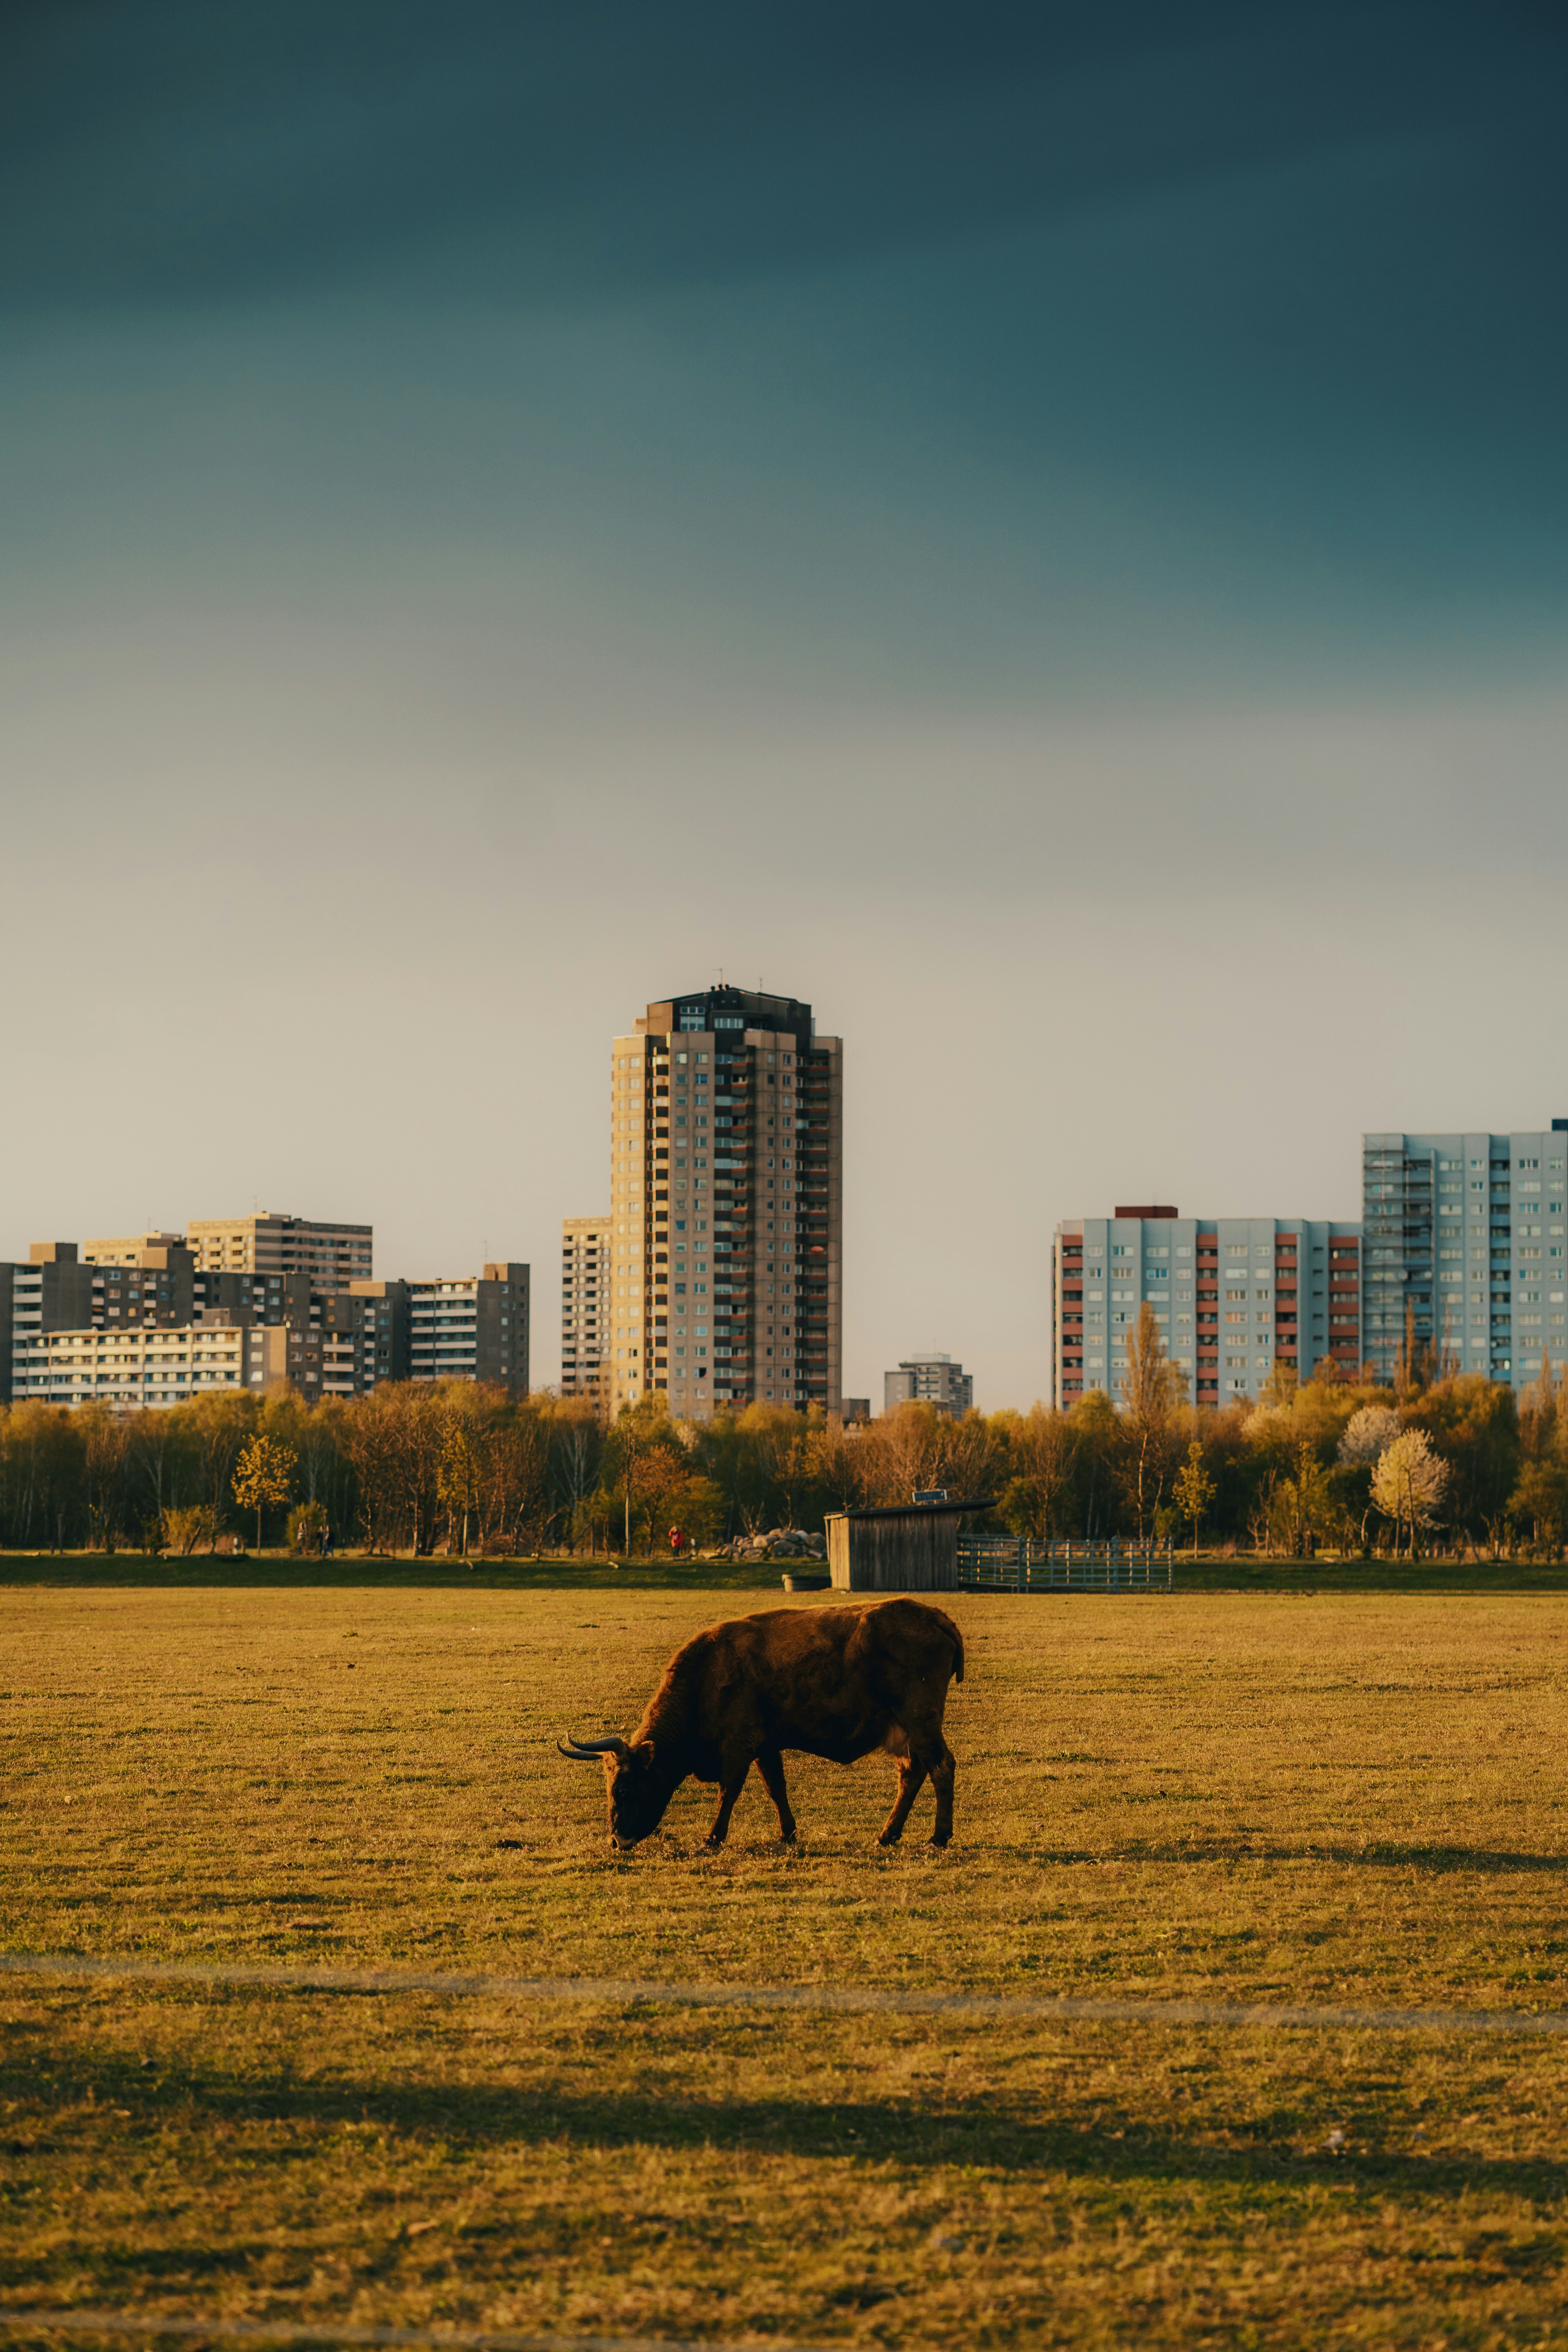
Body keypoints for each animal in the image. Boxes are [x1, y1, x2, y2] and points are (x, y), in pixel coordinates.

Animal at [557, 1596, 964, 1851]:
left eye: (624, 1789)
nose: (616, 1840)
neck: (707, 1675)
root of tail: (935, 1617)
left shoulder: (740, 1744)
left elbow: (729, 1791)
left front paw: (714, 1837)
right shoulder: (767, 1746)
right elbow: (776, 1789)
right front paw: (788, 1833)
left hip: (920, 1719)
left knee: (941, 1767)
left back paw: (939, 1836)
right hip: (905, 1730)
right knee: (912, 1773)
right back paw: (888, 1834)